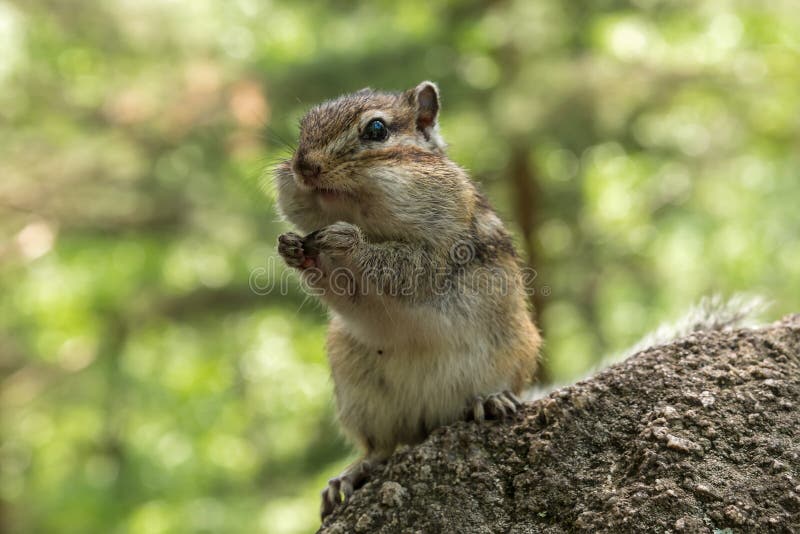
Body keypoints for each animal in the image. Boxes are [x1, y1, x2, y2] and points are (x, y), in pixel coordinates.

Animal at [274, 81, 541, 518]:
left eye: (376, 129)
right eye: (302, 130)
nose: (304, 167)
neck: (371, 221)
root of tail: (431, 421)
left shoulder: (444, 250)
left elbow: (406, 269)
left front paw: (348, 241)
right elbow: (346, 295)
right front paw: (295, 250)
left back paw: (492, 399)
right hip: (362, 397)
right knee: (382, 448)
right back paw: (350, 475)